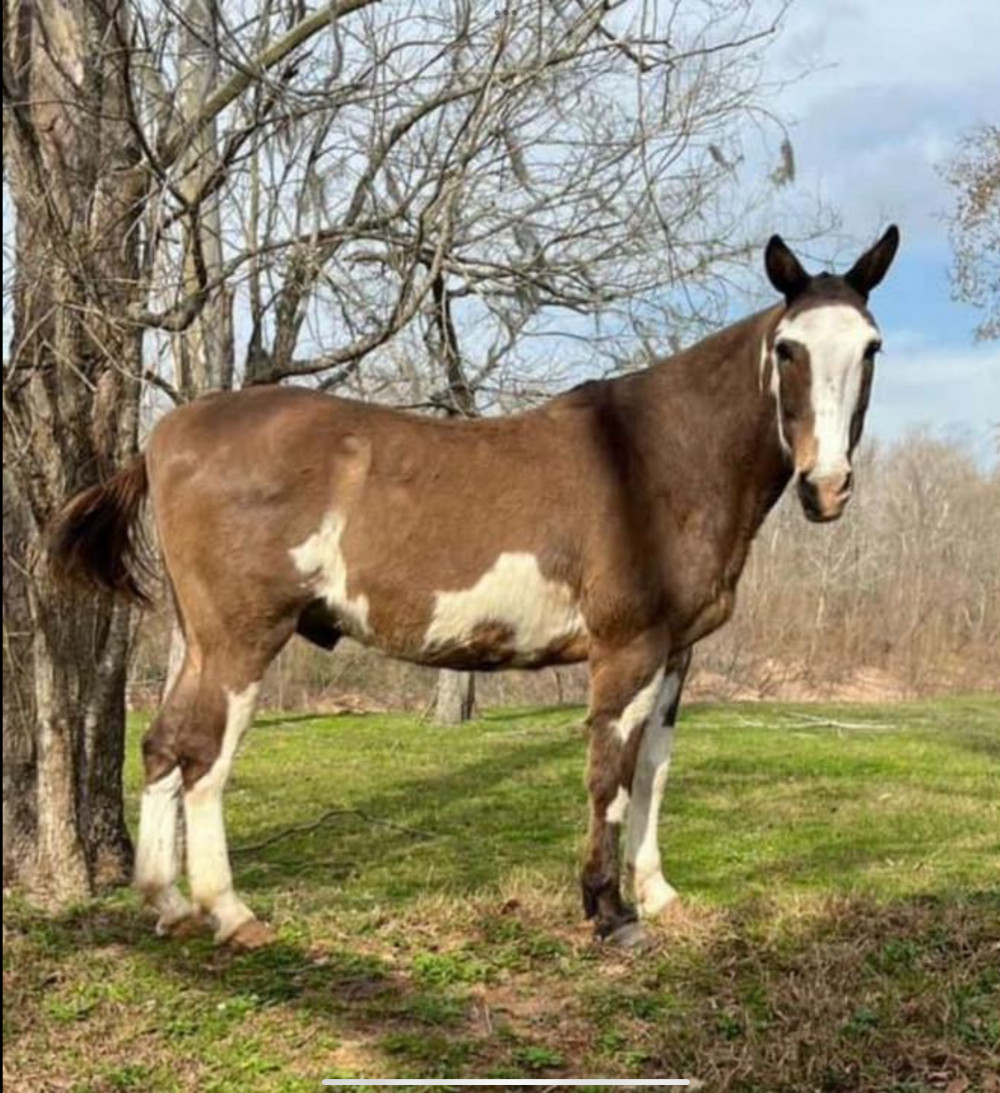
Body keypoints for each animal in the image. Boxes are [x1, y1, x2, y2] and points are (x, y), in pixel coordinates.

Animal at [50, 226, 900, 948]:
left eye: (871, 347)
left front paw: (657, 893)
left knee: (163, 745)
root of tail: (166, 435)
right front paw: (610, 911)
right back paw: (228, 910)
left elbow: (654, 768)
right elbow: (610, 775)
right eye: (788, 348)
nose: (827, 486)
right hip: (242, 637)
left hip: (196, 639)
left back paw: (166, 902)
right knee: (206, 757)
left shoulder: (676, 653)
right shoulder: (626, 649)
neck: (655, 455)